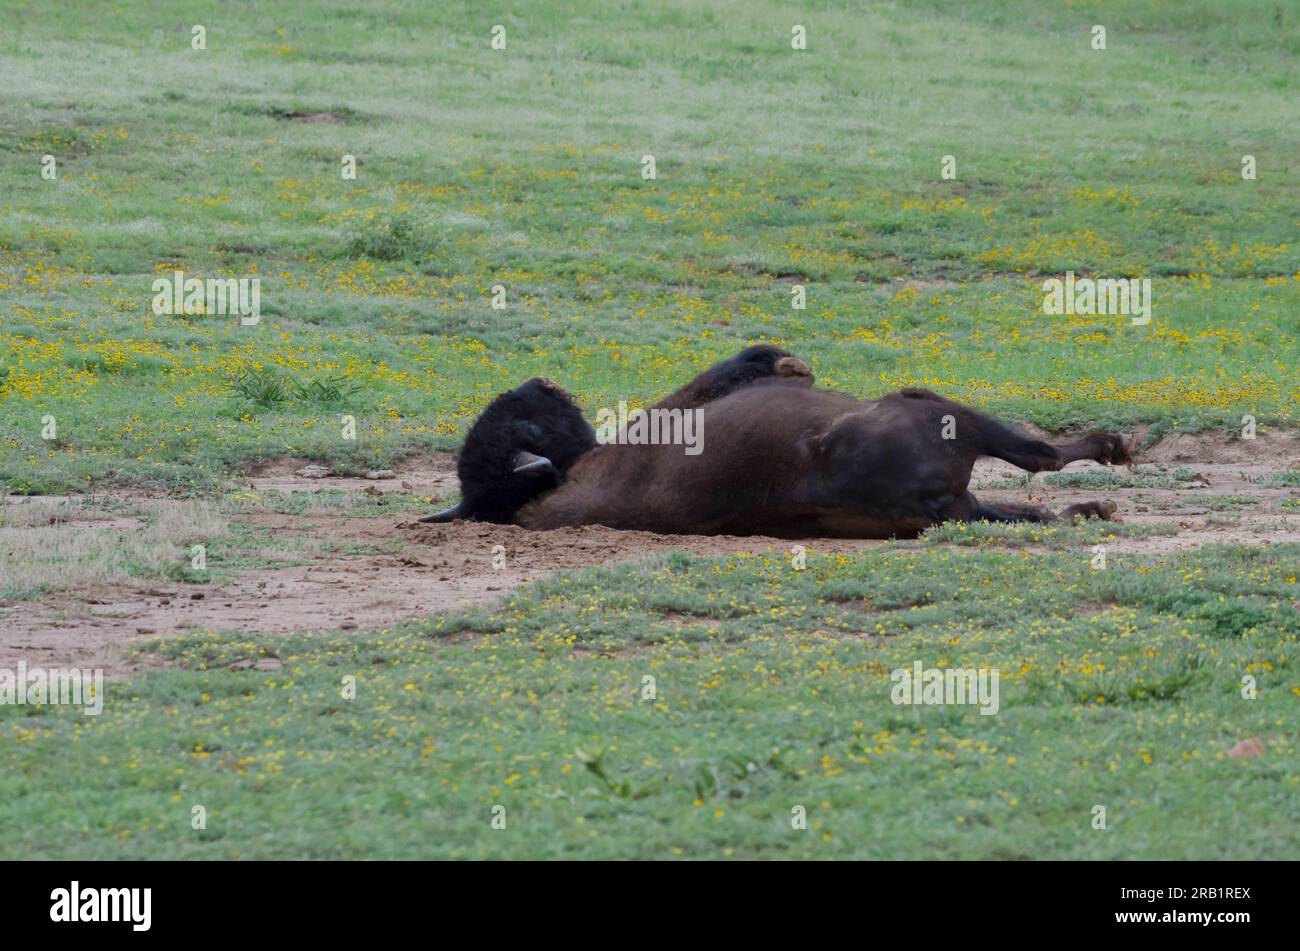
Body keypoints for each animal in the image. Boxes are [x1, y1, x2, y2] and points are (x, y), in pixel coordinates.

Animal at [422, 346, 1135, 538]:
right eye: (522, 420)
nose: (540, 382)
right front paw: (787, 363)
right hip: (925, 404)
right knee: (1038, 459)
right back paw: (1111, 452)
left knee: (1025, 507)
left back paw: (1092, 505)